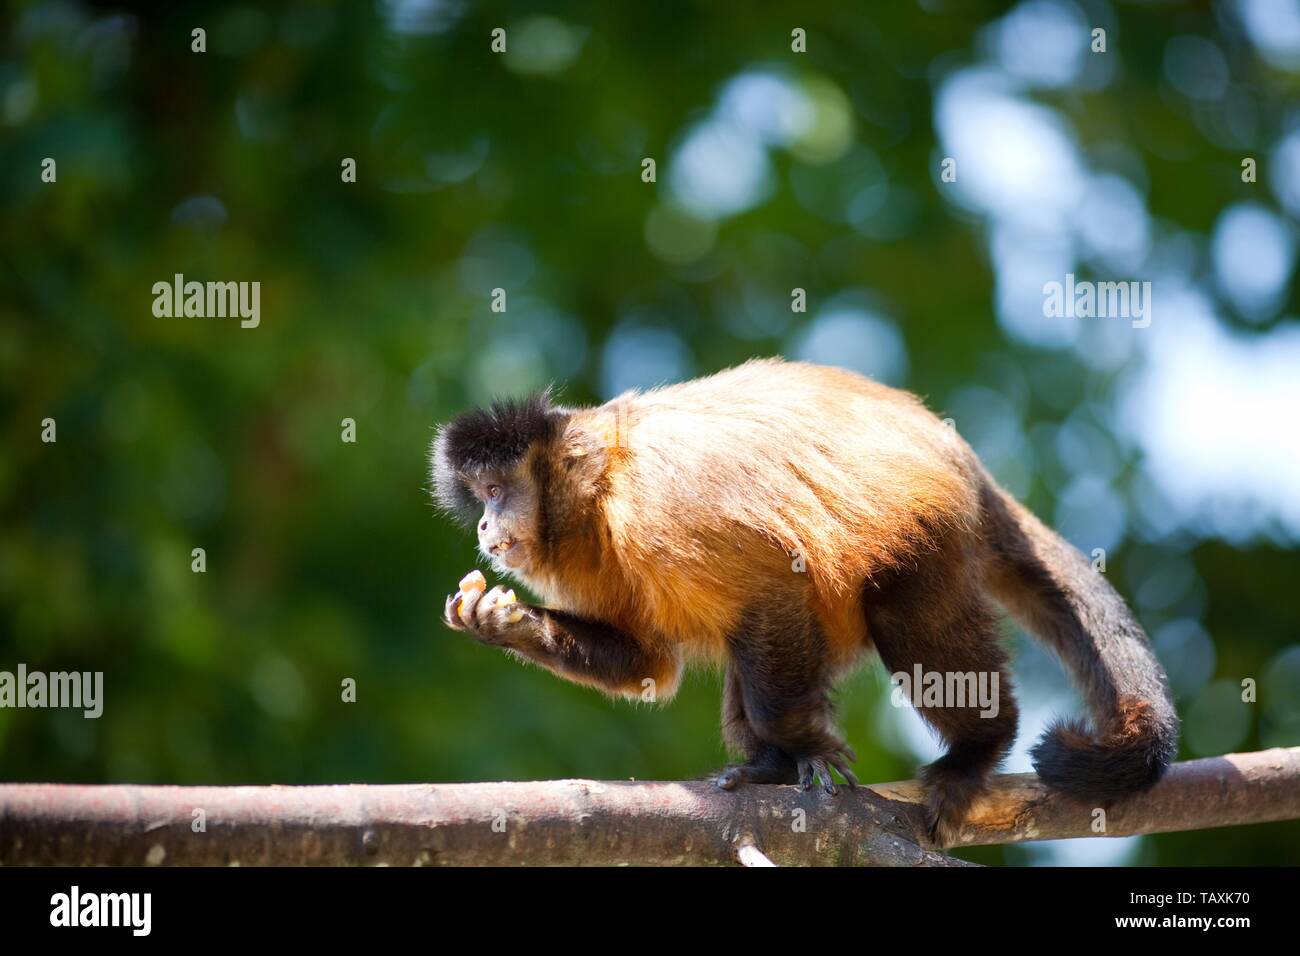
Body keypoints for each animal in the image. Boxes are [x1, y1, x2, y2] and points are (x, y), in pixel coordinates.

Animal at [430, 357, 1178, 845]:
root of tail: (952, 444)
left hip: (932, 516)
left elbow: (770, 585)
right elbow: (649, 665)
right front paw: (497, 621)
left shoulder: (659, 511)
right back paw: (768, 767)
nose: (486, 525)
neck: (598, 490)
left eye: (497, 490)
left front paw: (810, 748)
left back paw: (976, 750)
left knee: (898, 611)